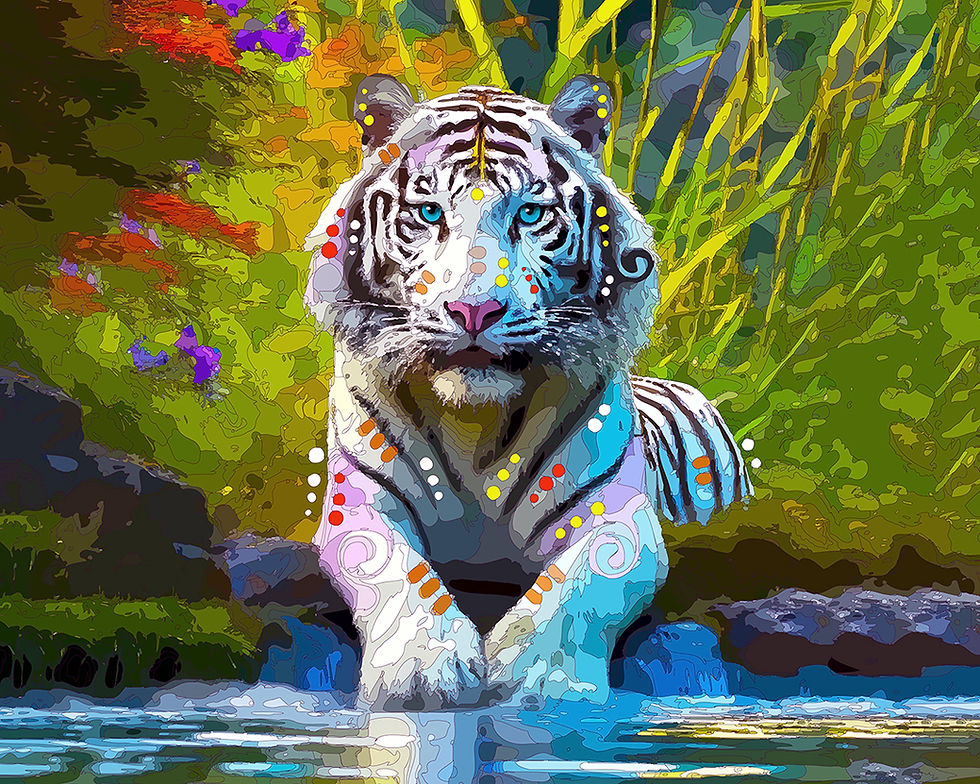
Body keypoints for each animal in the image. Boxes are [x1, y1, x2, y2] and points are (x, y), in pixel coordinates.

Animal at [303, 74, 752, 709]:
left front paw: (540, 682)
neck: (475, 423)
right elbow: (395, 569)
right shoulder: (358, 502)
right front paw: (421, 674)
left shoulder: (618, 514)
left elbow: (583, 582)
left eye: (530, 213)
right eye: (429, 212)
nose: (473, 311)